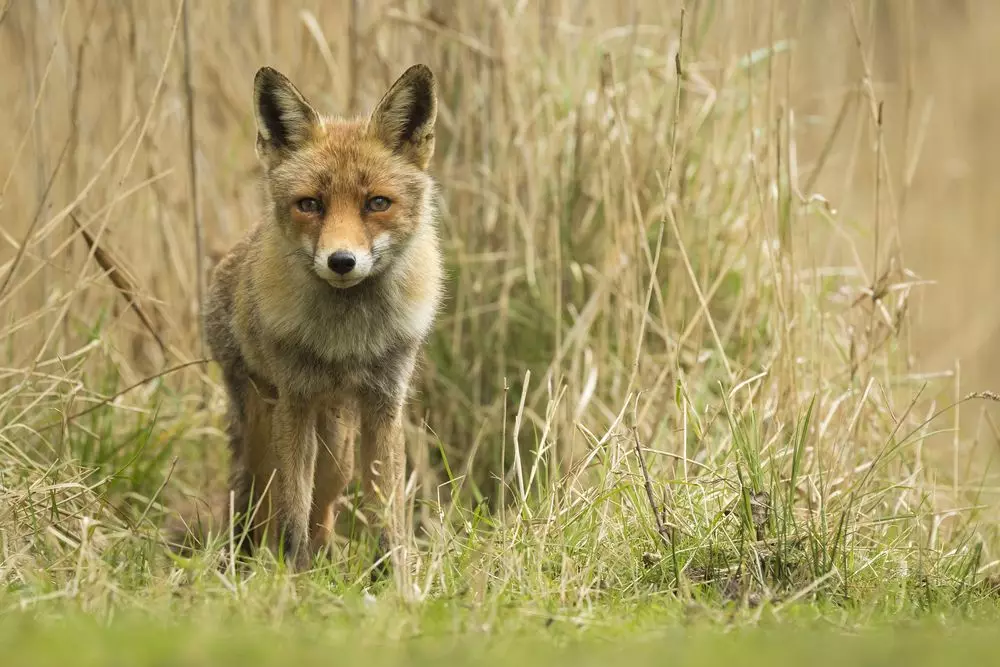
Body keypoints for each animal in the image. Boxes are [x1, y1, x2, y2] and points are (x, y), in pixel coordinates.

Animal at [197, 64, 440, 576]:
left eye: (377, 203)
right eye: (310, 204)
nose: (342, 261)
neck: (346, 341)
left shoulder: (384, 404)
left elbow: (388, 515)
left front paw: (396, 581)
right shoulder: (295, 402)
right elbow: (290, 518)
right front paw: (291, 581)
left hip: (337, 453)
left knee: (323, 512)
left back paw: (325, 566)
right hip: (263, 429)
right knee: (256, 506)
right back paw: (247, 567)